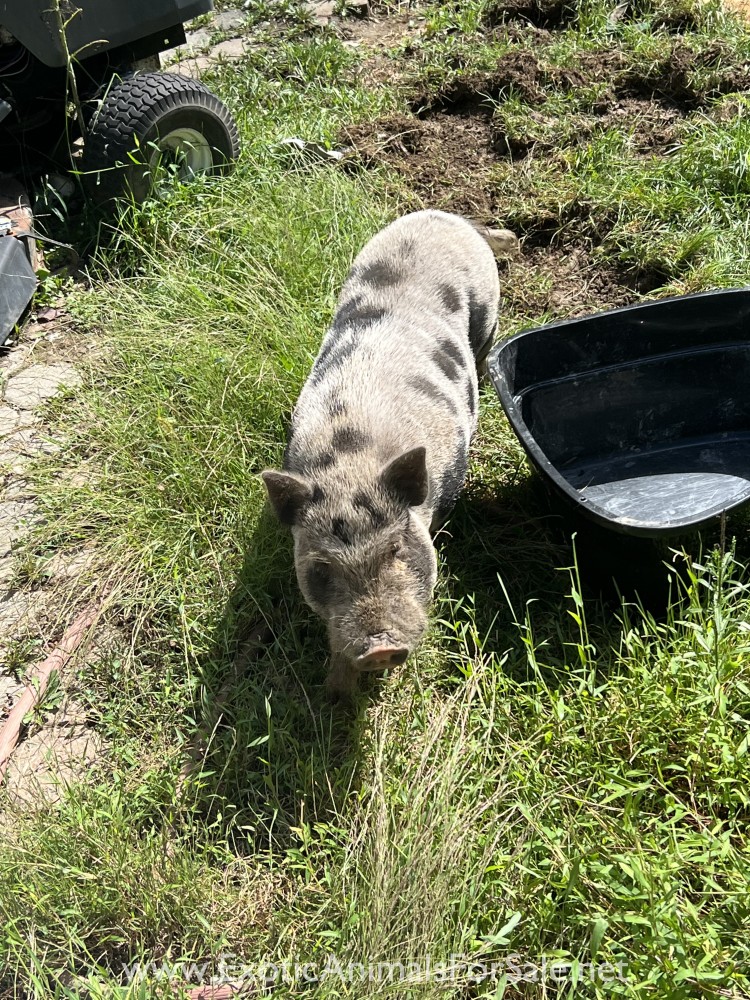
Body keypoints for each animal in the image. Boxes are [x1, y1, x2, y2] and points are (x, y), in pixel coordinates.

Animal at [261, 209, 501, 700]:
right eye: (322, 566)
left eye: (395, 548)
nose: (379, 648)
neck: (351, 458)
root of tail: (446, 216)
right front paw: (336, 692)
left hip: (489, 308)